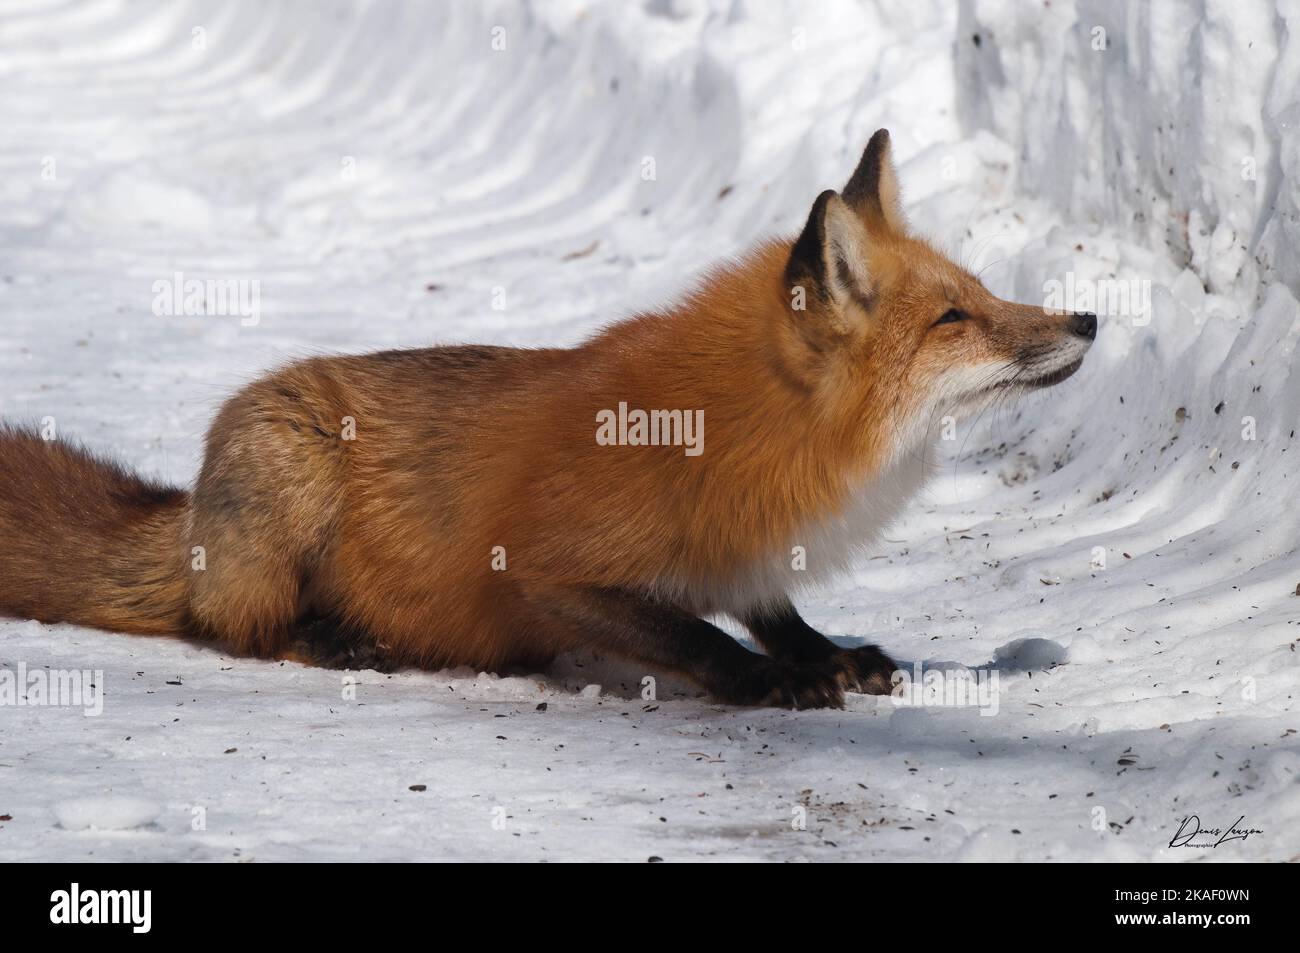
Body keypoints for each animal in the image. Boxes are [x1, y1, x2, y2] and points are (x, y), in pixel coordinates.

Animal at [0, 130, 1095, 708]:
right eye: (954, 320)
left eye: (980, 293)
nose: (1086, 317)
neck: (749, 437)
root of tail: (185, 509)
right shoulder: (547, 567)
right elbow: (691, 633)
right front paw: (762, 680)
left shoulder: (743, 553)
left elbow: (771, 611)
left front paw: (825, 654)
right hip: (290, 473)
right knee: (232, 628)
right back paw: (335, 640)